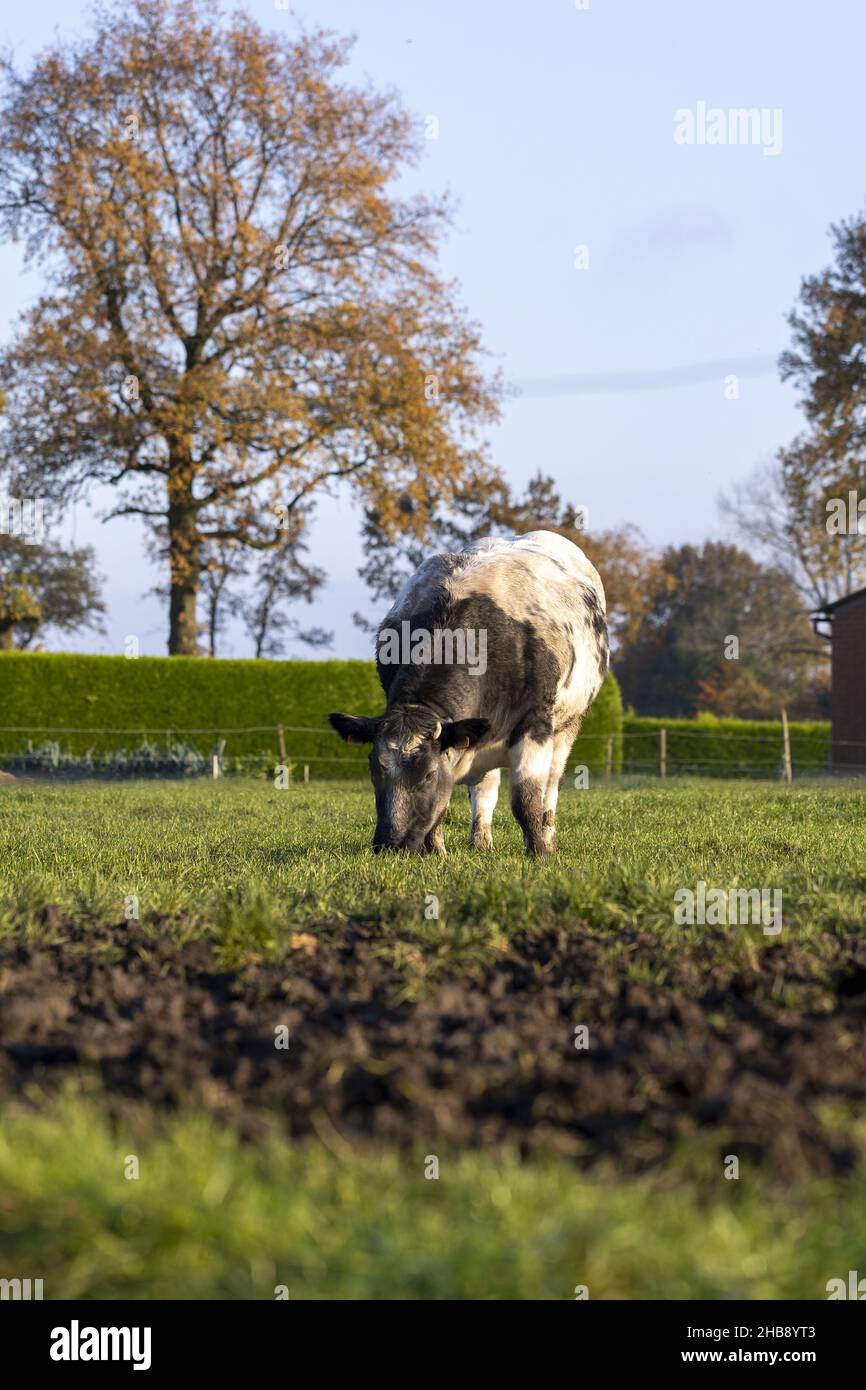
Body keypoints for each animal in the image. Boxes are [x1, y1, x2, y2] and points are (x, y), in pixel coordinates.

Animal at [329, 529, 608, 856]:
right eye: (375, 769)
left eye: (428, 774)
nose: (390, 846)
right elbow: (445, 803)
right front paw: (436, 852)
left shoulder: (535, 723)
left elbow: (526, 799)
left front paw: (539, 853)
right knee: (485, 789)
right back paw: (481, 841)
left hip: (568, 724)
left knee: (551, 785)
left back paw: (547, 835)